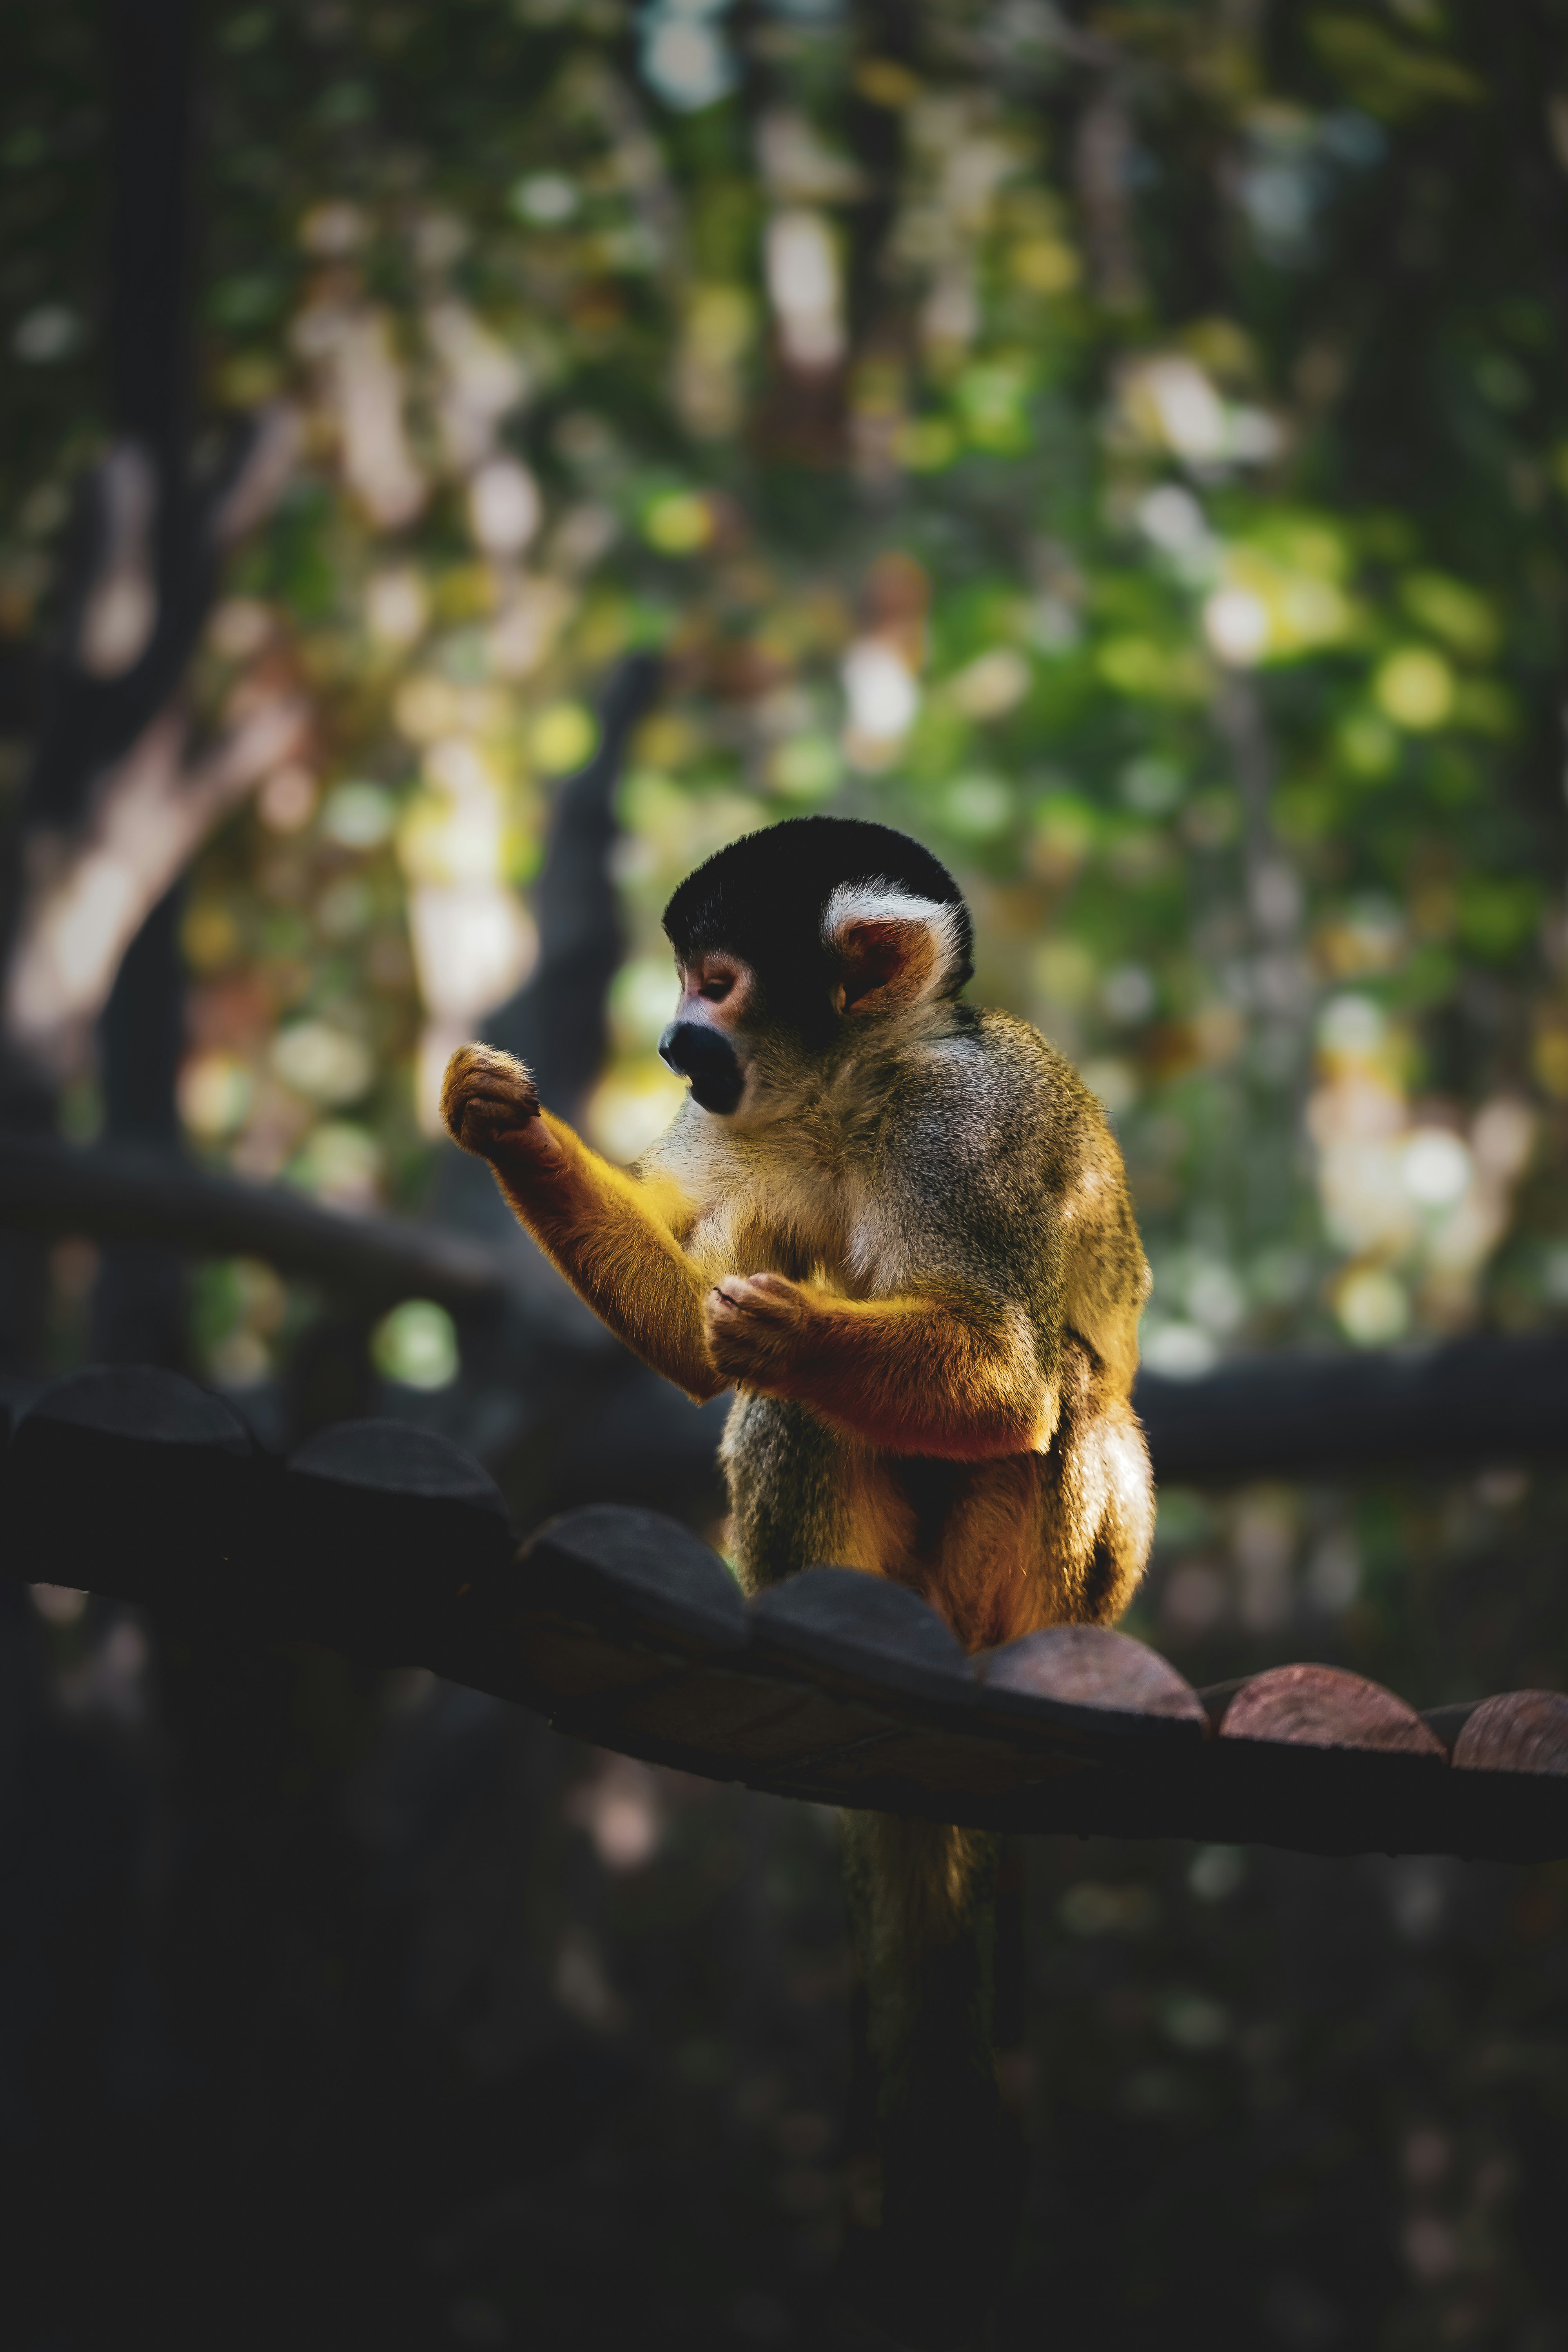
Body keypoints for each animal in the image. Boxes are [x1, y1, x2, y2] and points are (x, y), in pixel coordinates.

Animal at [441, 814, 1154, 2343]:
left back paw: (1019, 1654)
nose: (671, 1036)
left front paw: (797, 1320)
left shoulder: (968, 1127)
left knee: (1067, 1383)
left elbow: (1004, 1375)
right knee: (797, 1419)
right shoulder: (736, 1124)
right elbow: (699, 1339)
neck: (850, 1090)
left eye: (716, 982)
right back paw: (822, 1620)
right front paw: (504, 1119)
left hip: (1065, 1593)